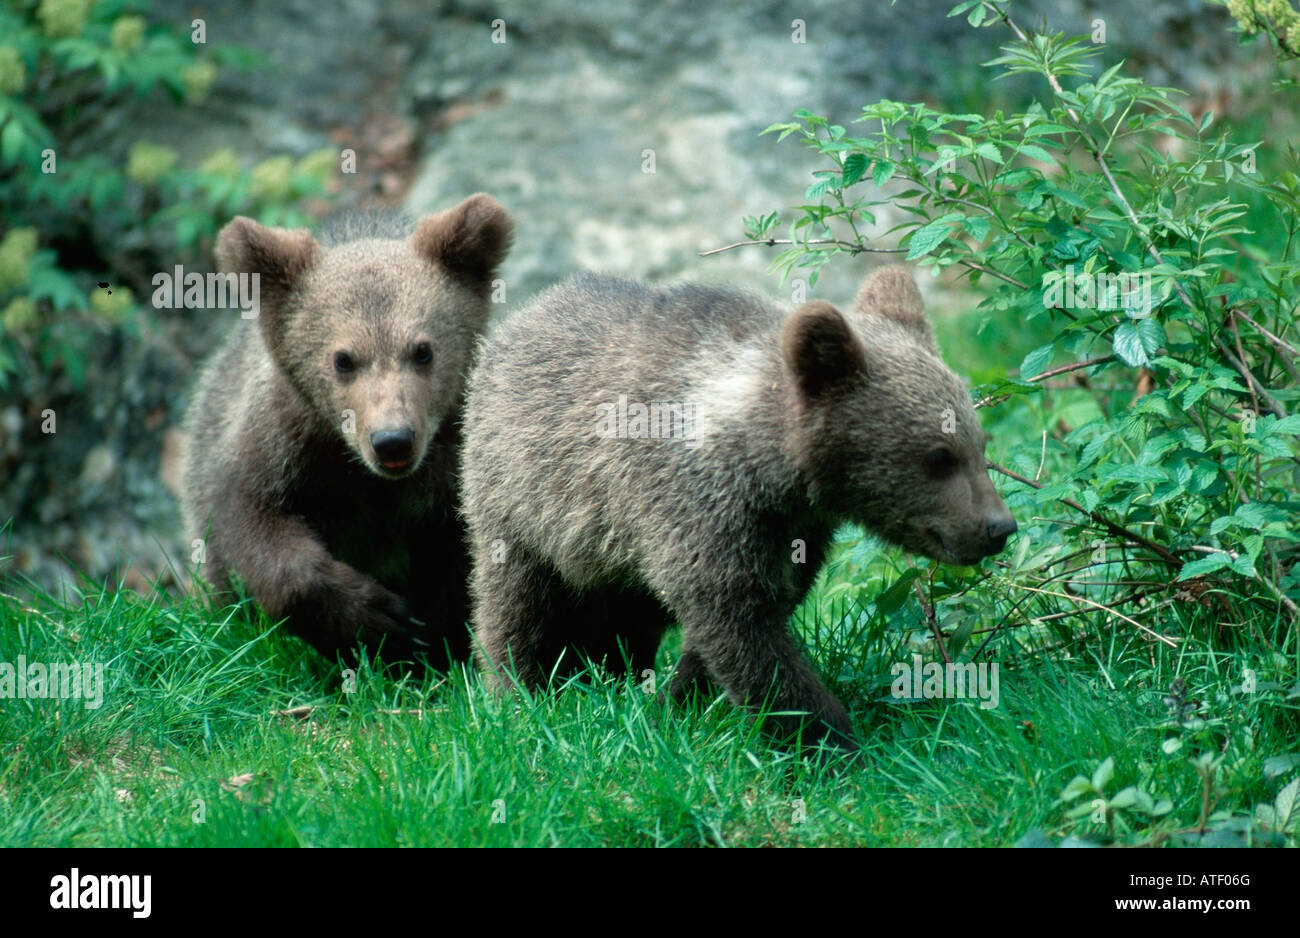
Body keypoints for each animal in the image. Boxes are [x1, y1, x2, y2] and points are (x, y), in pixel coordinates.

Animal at [181, 193, 512, 670]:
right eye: (343, 359)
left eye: (423, 350)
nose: (392, 441)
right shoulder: (281, 447)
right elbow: (252, 524)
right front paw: (377, 621)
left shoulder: (451, 466)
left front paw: (427, 642)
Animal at [460, 264, 1015, 751]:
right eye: (939, 457)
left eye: (979, 443)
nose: (999, 527)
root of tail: (523, 316)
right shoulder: (696, 508)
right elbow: (741, 626)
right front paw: (829, 739)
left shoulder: (791, 533)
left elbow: (741, 620)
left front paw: (674, 699)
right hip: (520, 500)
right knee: (516, 601)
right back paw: (520, 692)